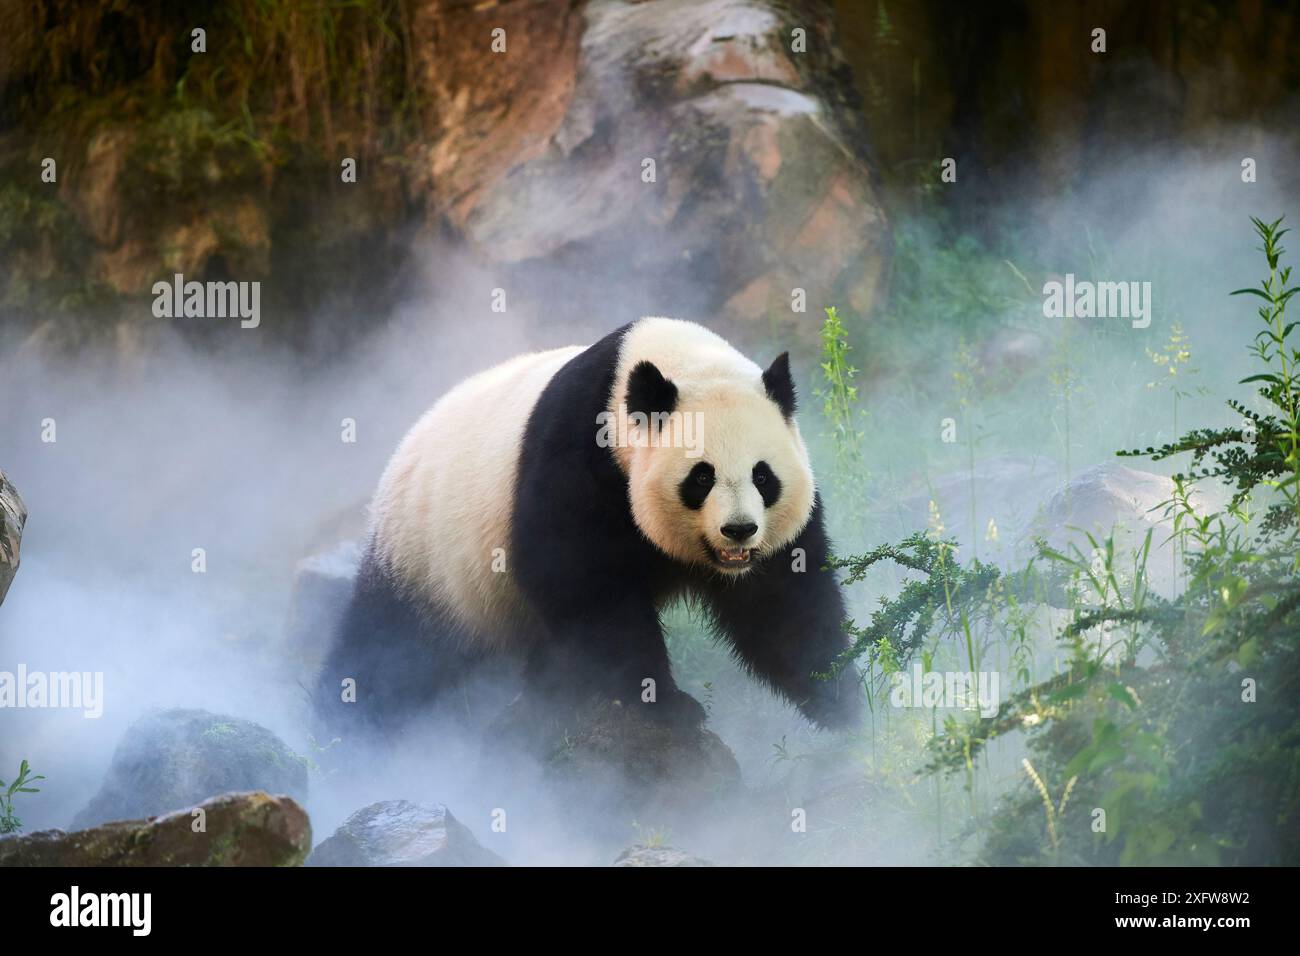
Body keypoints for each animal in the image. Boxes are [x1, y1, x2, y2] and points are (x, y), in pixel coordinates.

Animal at [314, 317, 862, 737]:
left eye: (762, 476)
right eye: (701, 477)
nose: (740, 530)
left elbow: (782, 602)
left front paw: (839, 699)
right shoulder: (578, 459)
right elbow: (586, 587)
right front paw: (666, 704)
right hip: (427, 560)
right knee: (389, 648)